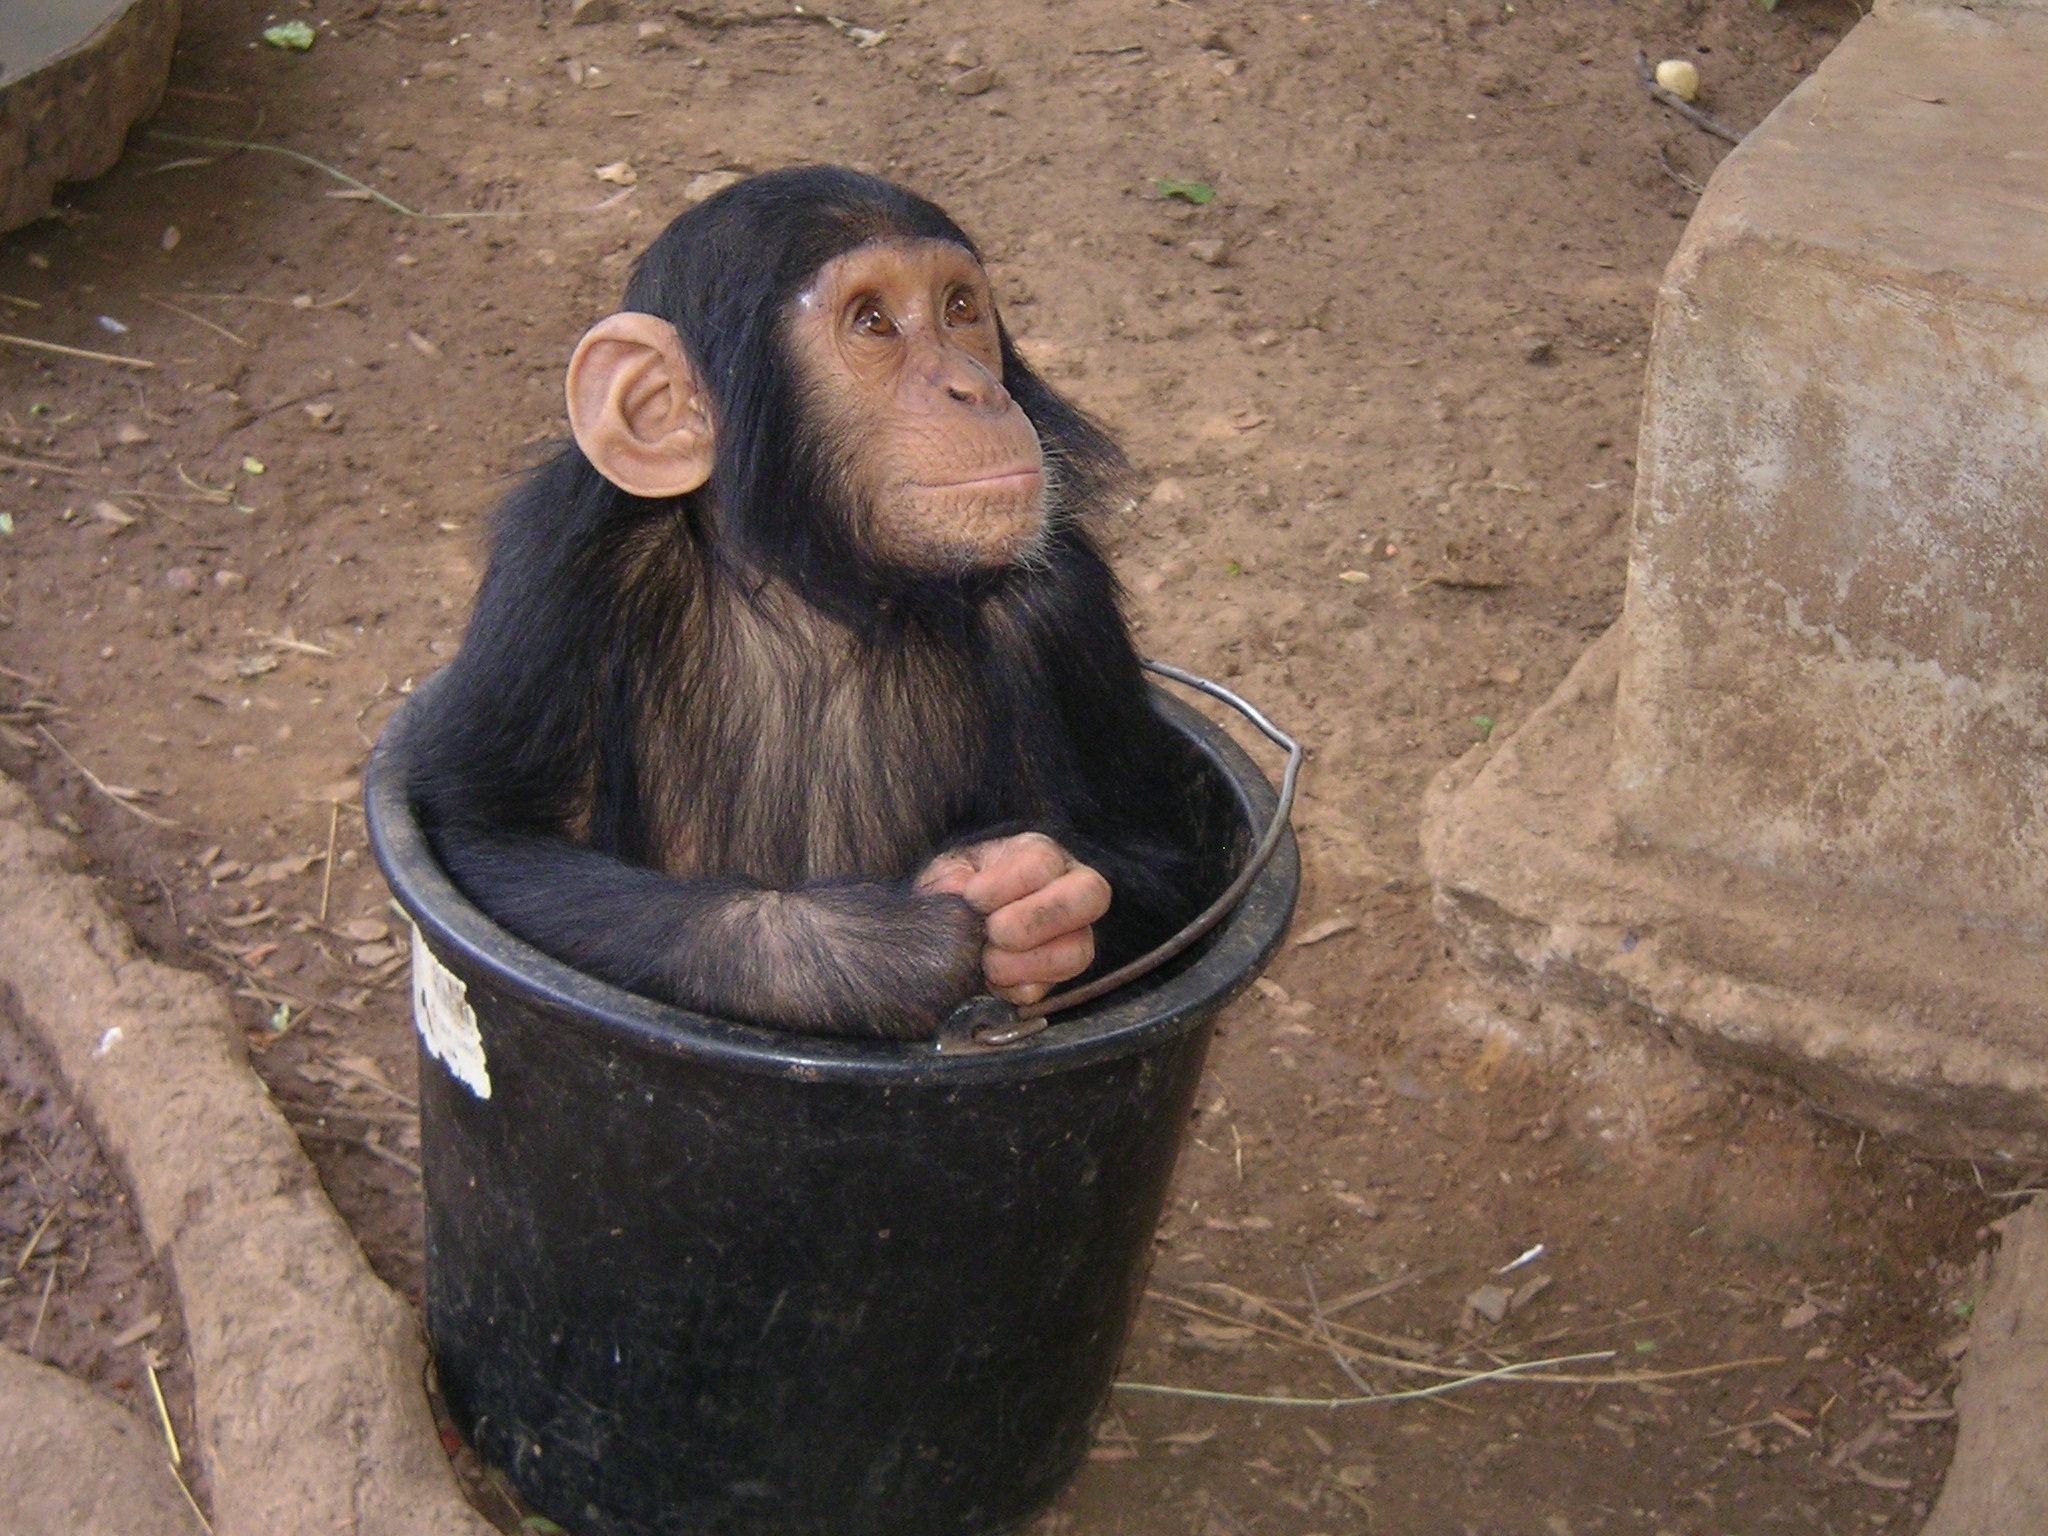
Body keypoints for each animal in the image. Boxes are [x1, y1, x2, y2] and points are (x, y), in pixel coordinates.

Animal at [407, 167, 1234, 1040]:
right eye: (872, 321)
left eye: (959, 309)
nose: (973, 389)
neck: (821, 586)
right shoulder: (553, 574)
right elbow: (495, 836)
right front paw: (903, 945)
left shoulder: (1066, 610)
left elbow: (1158, 862)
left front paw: (1039, 906)